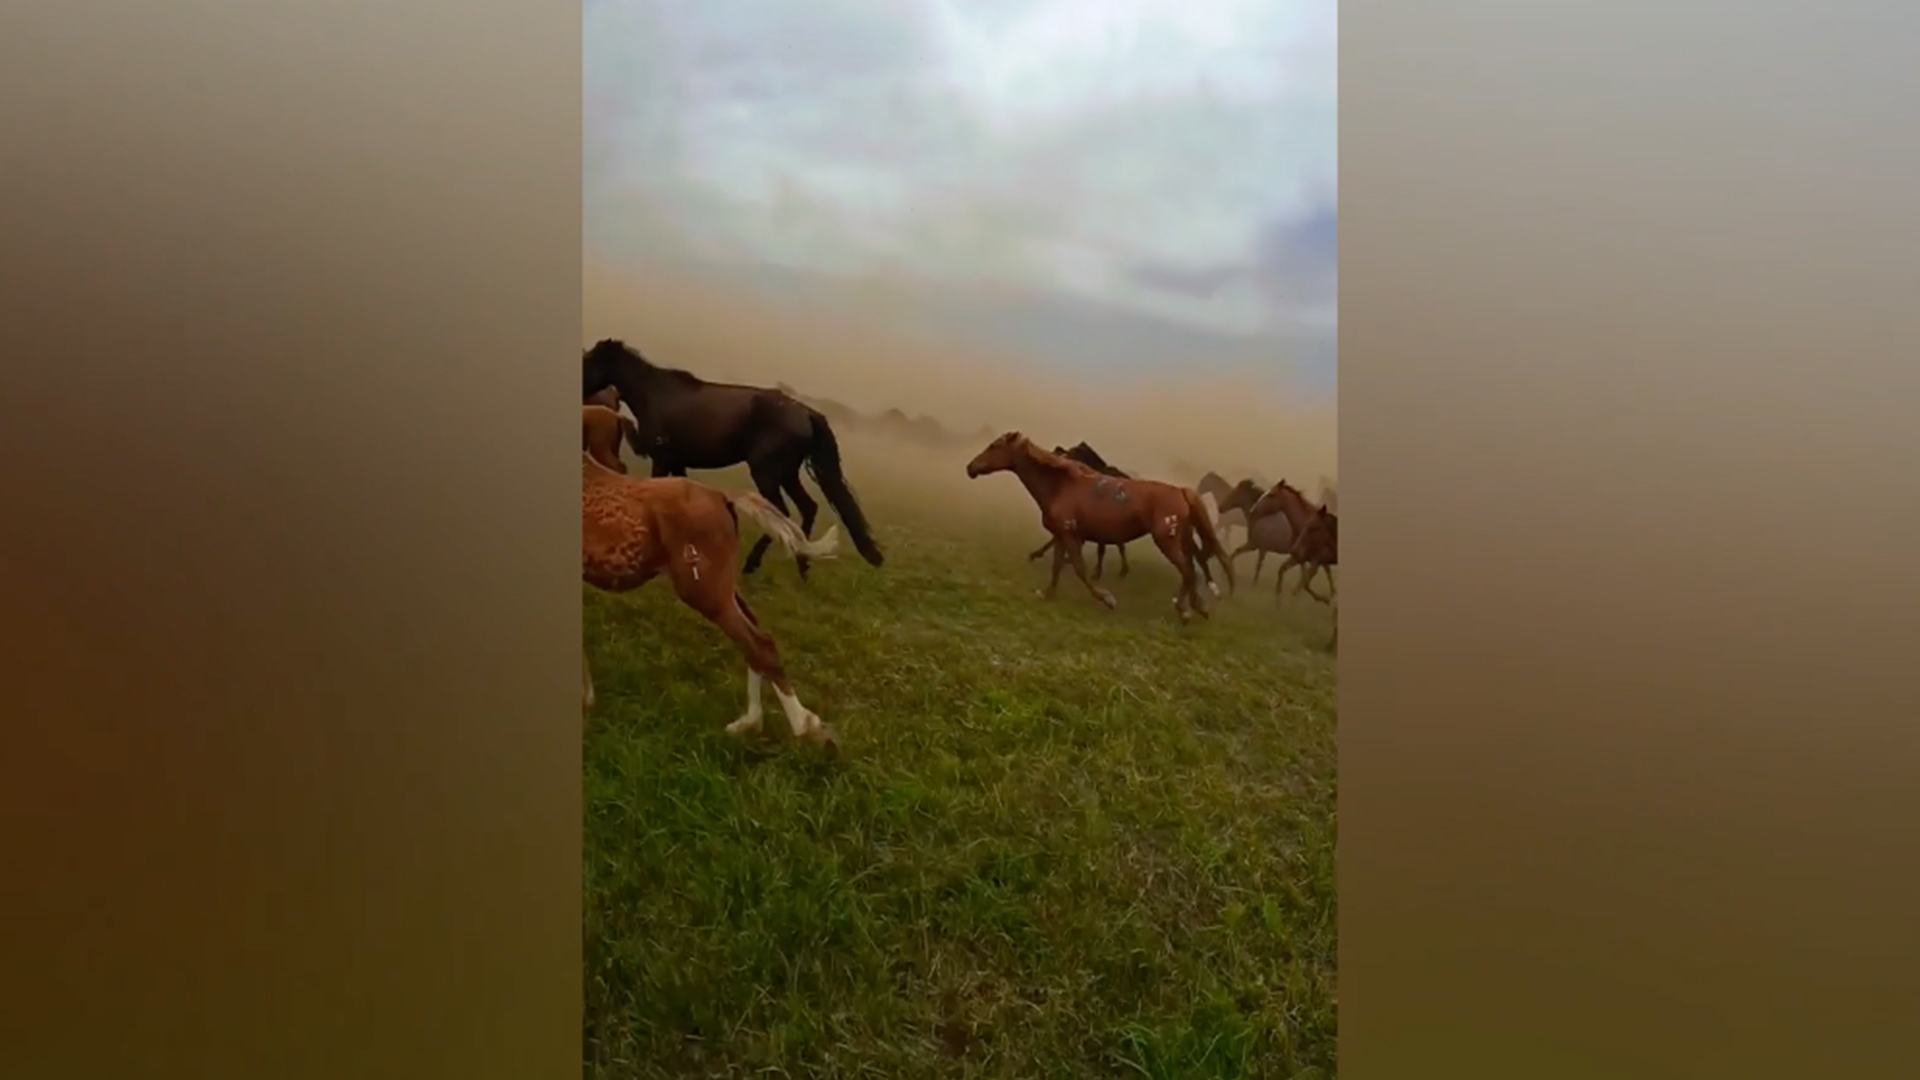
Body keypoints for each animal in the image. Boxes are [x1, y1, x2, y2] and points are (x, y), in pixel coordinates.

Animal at [581, 339, 884, 581]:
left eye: (588, 361)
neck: (655, 394)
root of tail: (806, 413)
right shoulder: (678, 462)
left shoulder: (663, 460)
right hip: (786, 473)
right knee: (808, 508)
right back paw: (802, 565)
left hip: (766, 472)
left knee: (782, 512)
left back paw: (753, 564)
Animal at [581, 452, 845, 752]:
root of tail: (723, 497)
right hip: (724, 590)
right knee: (755, 636)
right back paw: (749, 722)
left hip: (705, 593)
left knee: (759, 645)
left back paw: (804, 725)